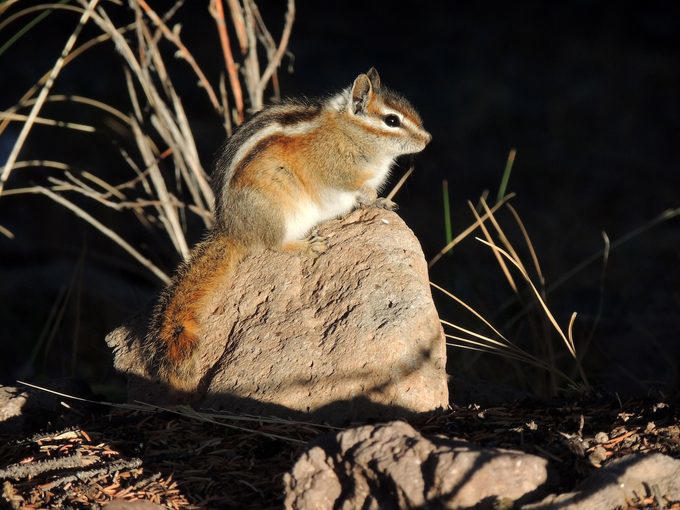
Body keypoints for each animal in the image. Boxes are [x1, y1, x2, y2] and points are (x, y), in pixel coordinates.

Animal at [144, 68, 432, 392]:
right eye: (392, 120)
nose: (428, 139)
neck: (347, 130)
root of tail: (233, 229)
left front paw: (380, 201)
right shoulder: (339, 172)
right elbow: (355, 187)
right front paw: (373, 199)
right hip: (279, 210)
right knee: (274, 244)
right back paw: (307, 245)